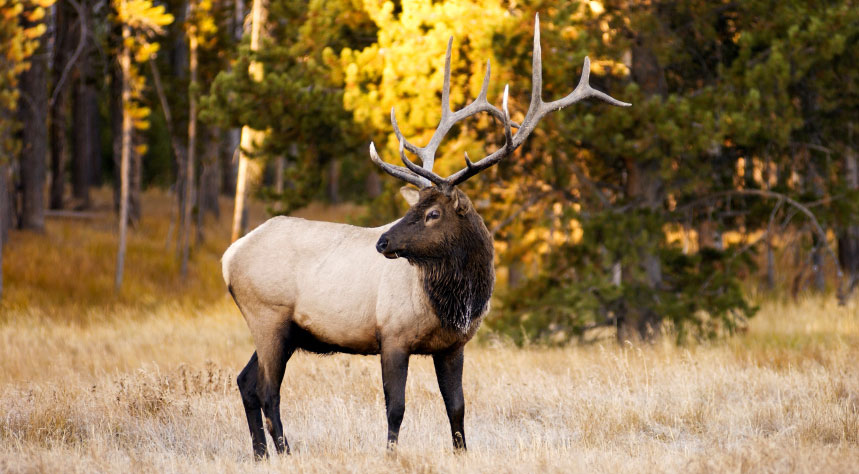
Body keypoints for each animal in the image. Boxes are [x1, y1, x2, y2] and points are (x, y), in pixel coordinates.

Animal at [221, 14, 629, 458]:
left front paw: (461, 453)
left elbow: (457, 406)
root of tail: (228, 257)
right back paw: (283, 452)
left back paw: (261, 454)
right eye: (413, 207)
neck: (453, 302)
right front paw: (390, 454)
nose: (382, 242)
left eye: (432, 213)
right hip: (268, 315)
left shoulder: (453, 345)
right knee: (268, 390)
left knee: (246, 382)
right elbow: (395, 407)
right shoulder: (392, 335)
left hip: (288, 329)